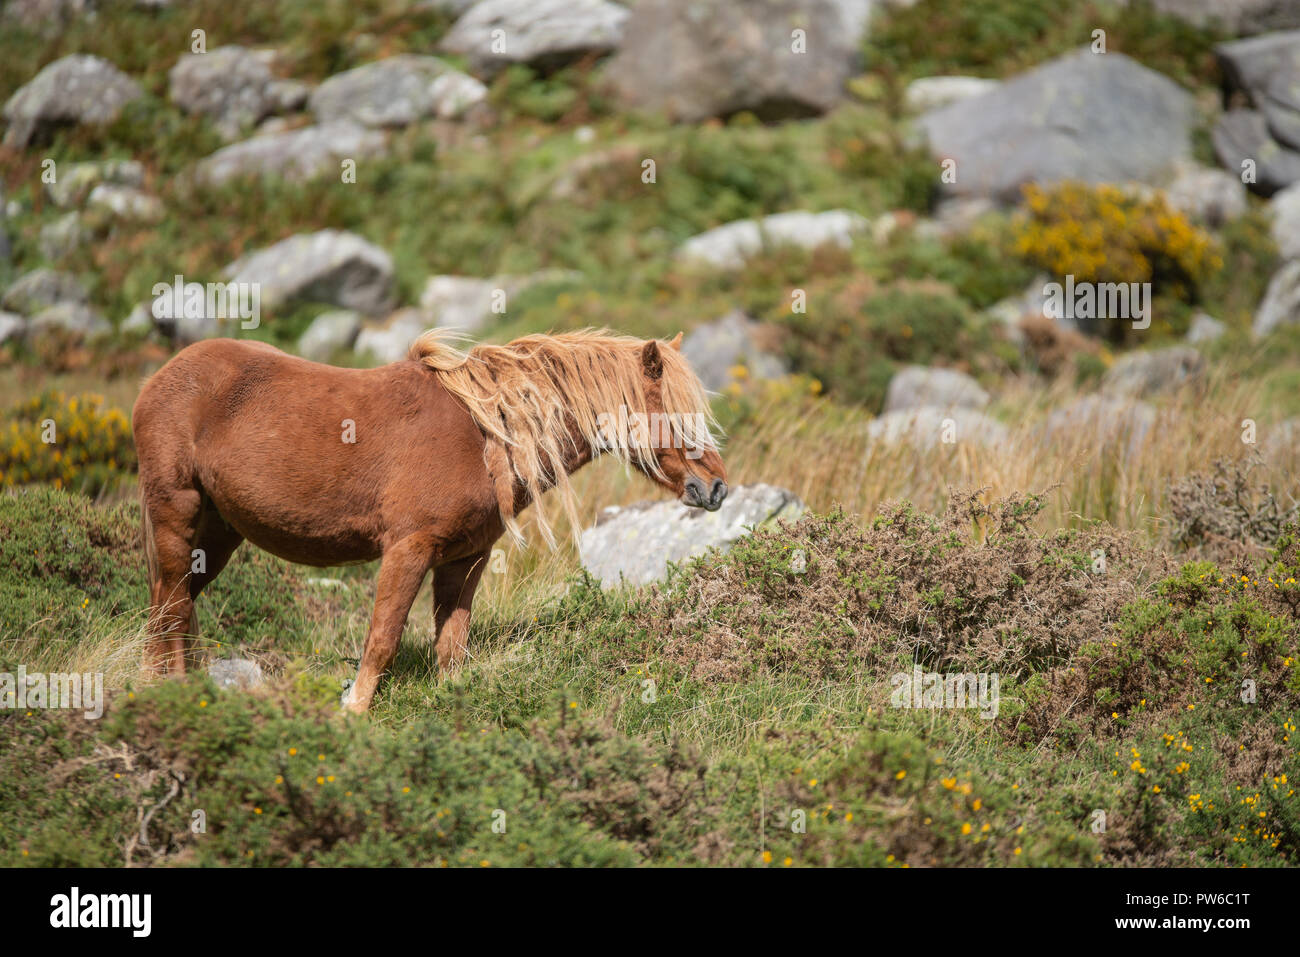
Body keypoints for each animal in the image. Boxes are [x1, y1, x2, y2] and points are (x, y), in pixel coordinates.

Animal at [131, 328, 729, 712]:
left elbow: (450, 646)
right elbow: (382, 640)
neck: (485, 435)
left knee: (173, 608)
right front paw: (354, 712)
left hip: (218, 534)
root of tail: (161, 379)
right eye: (673, 410)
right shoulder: (408, 550)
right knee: (169, 609)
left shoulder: (465, 559)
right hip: (176, 516)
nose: (717, 487)